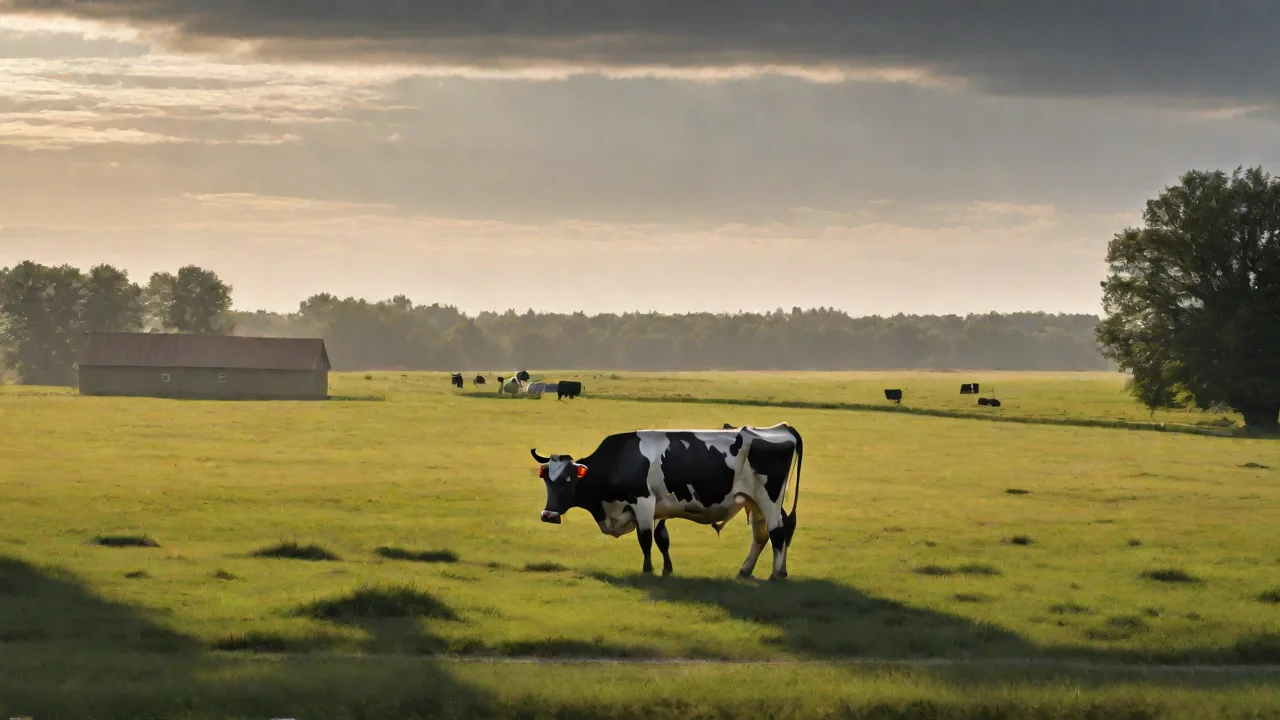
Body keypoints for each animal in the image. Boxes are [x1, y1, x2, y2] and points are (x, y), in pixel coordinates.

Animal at [529, 422, 803, 582]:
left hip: (768, 498)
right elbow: (663, 540)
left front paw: (647, 571)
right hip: (756, 501)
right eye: (547, 481)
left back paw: (774, 575)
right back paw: (753, 570)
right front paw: (667, 569)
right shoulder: (658, 508)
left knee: (777, 531)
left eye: (567, 480)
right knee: (767, 532)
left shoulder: (642, 501)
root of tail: (782, 427)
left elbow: (645, 539)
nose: (548, 516)